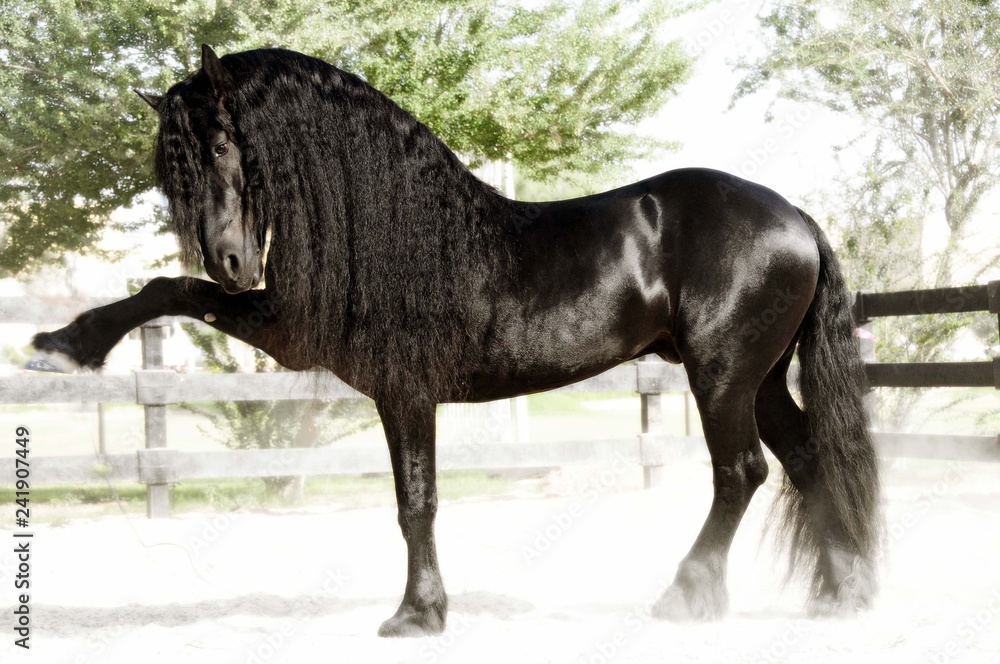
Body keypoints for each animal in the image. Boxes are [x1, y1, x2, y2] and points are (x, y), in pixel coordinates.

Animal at [31, 45, 882, 637]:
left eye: (218, 145)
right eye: (171, 171)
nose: (233, 264)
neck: (399, 227)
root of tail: (795, 218)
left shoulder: (389, 382)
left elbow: (417, 502)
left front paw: (418, 614)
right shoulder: (309, 341)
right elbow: (171, 290)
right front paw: (68, 340)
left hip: (722, 374)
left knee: (742, 472)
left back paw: (686, 595)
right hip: (760, 377)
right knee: (806, 458)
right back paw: (842, 596)